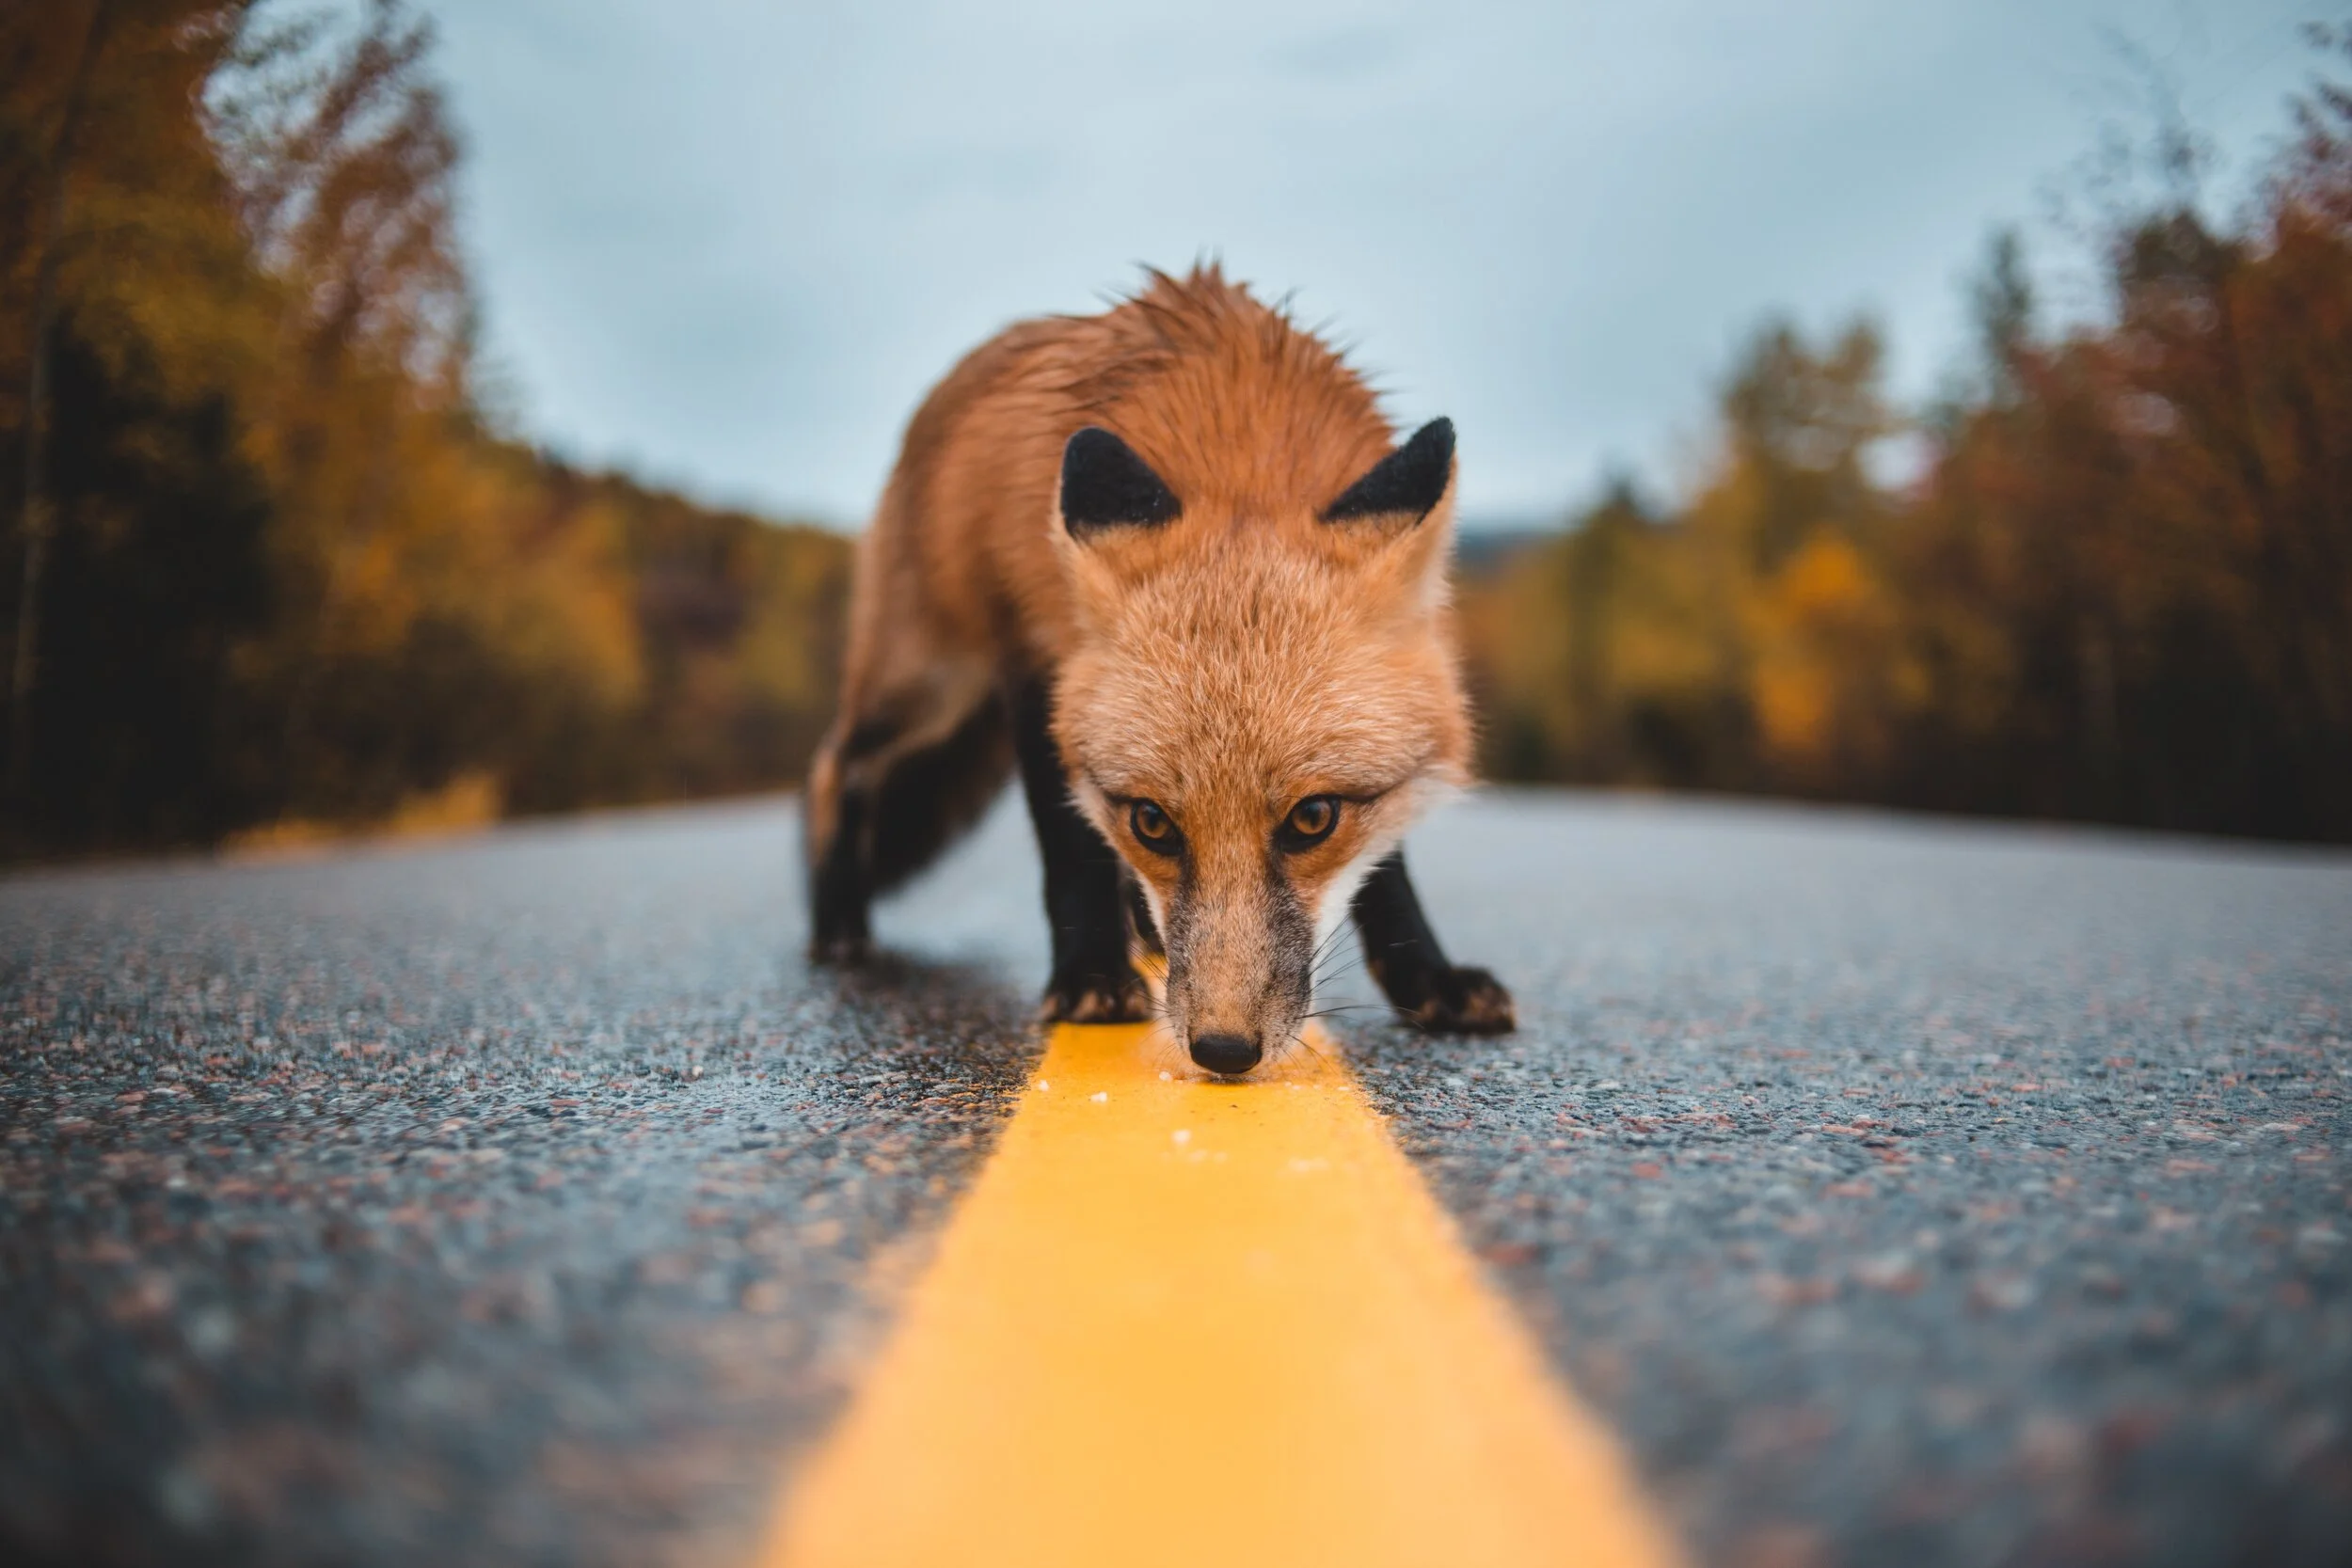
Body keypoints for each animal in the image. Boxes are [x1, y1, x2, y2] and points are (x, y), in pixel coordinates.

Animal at [803, 264, 1514, 1076]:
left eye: (1313, 819)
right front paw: (1088, 975)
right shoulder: (1036, 665)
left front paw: (1427, 977)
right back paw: (837, 920)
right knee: (836, 764)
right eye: (1153, 822)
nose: (1224, 1049)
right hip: (929, 684)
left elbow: (1387, 869)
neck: (1239, 443)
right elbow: (1070, 844)